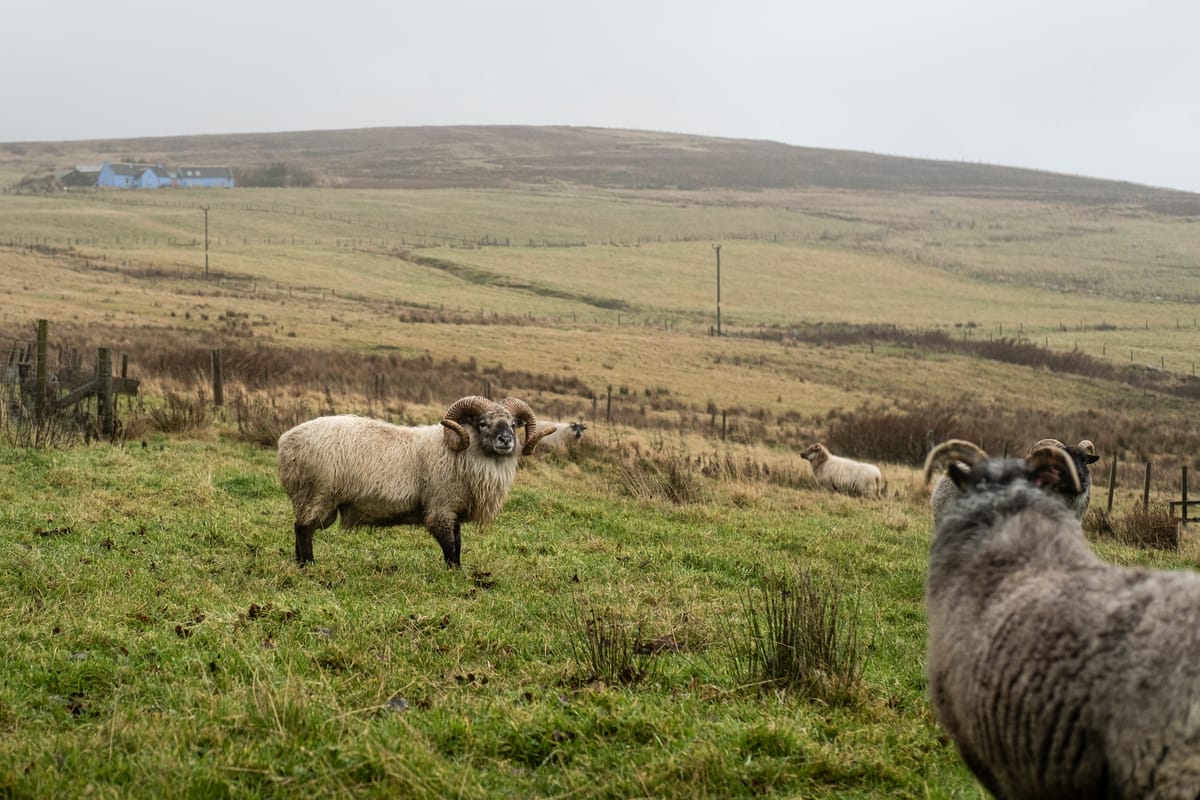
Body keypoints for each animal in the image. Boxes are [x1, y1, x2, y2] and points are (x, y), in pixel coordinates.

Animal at [277, 396, 555, 568]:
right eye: (482, 423)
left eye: (513, 424)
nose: (506, 440)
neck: (460, 454)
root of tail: (286, 441)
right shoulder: (440, 508)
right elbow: (449, 545)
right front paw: (452, 573)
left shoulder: (453, 508)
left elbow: (458, 543)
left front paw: (459, 570)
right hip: (317, 493)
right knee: (303, 529)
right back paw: (309, 565)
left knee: (300, 527)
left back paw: (299, 564)